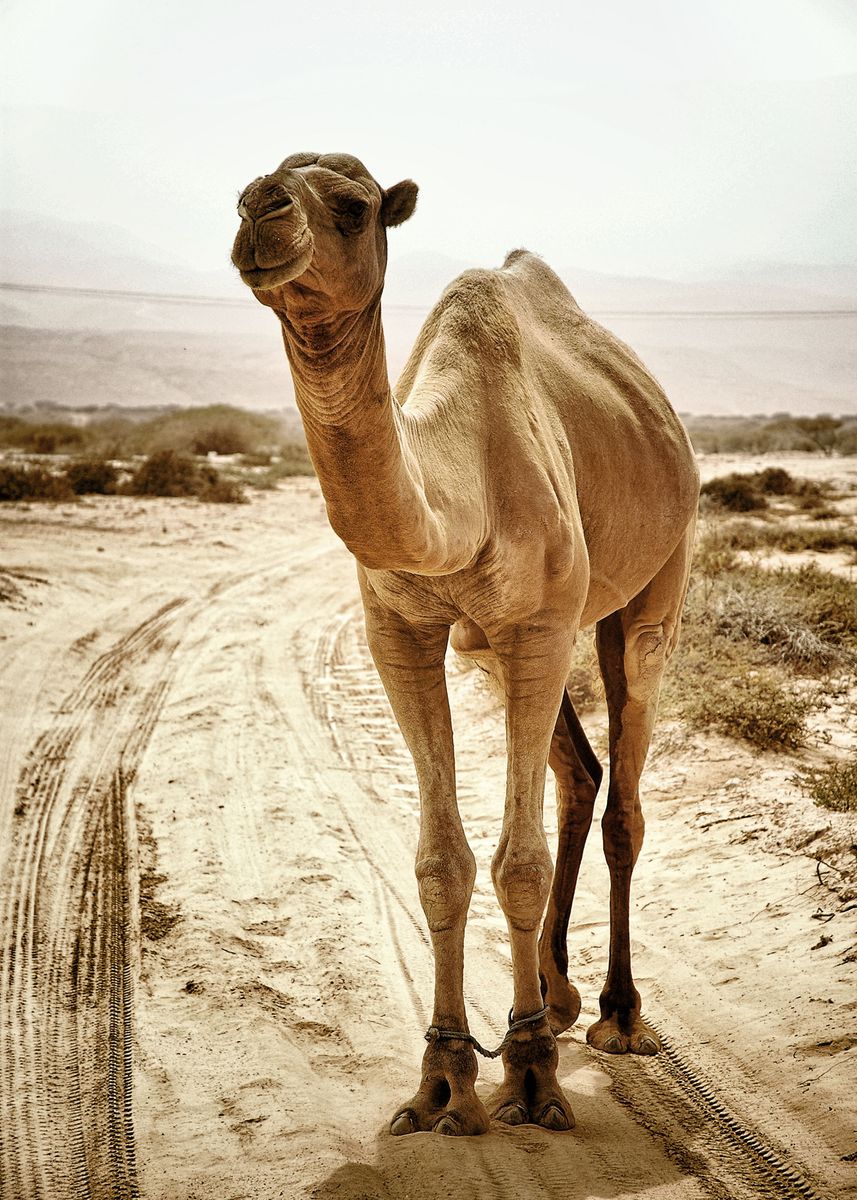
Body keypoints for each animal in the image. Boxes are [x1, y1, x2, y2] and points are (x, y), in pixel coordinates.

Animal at [231, 152, 699, 1137]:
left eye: (354, 206)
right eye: (245, 190)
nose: (260, 210)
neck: (462, 483)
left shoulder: (540, 623)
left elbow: (515, 861)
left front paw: (526, 1074)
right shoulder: (402, 631)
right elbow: (440, 863)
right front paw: (445, 1077)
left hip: (653, 581)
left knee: (625, 789)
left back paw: (614, 1015)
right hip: (499, 646)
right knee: (577, 772)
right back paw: (556, 997)